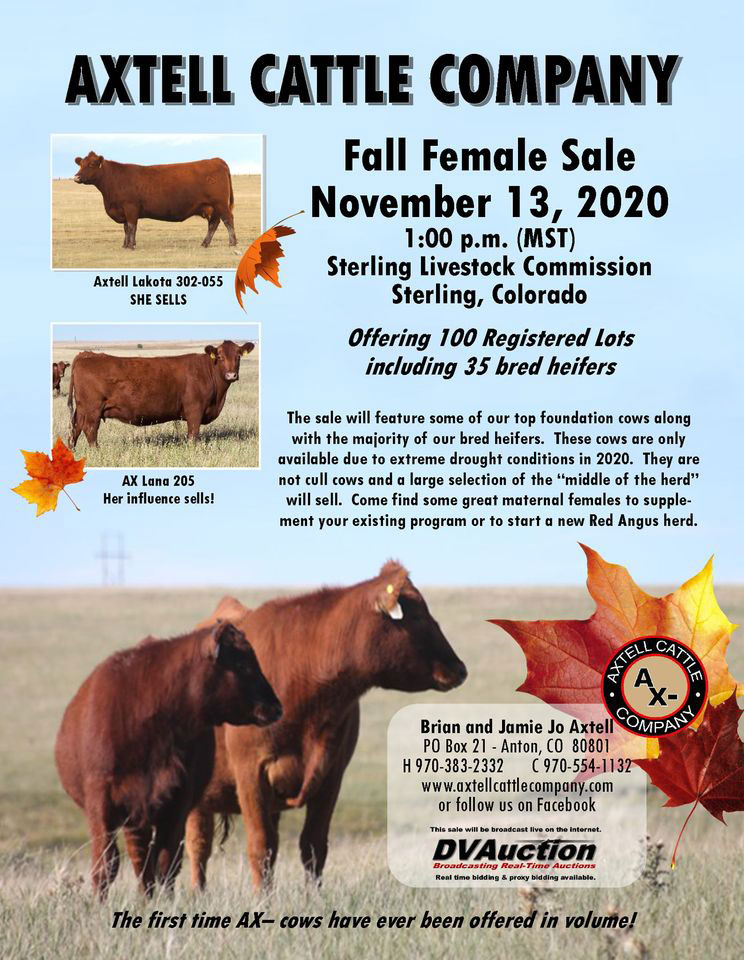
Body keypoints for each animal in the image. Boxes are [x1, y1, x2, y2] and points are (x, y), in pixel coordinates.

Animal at [55, 621, 281, 900]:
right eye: (241, 664)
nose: (276, 707)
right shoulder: (102, 804)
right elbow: (107, 861)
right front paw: (99, 902)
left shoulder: (176, 805)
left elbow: (166, 860)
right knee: (138, 858)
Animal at [67, 340, 254, 448]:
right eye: (220, 357)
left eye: (238, 356)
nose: (231, 375)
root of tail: (86, 354)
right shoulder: (194, 409)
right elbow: (193, 436)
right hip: (92, 409)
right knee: (90, 430)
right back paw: (96, 451)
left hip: (82, 409)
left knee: (75, 429)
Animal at [73, 152, 237, 249]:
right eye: (81, 164)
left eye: (91, 164)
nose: (76, 177)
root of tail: (217, 160)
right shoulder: (123, 210)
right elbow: (126, 228)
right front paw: (125, 245)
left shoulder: (130, 207)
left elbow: (131, 227)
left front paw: (131, 246)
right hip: (213, 207)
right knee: (213, 224)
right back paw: (204, 243)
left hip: (220, 204)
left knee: (228, 220)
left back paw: (232, 242)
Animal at [184, 561, 467, 890]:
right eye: (418, 615)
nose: (460, 669)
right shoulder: (250, 772)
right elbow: (260, 846)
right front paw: (261, 899)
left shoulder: (332, 774)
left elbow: (313, 846)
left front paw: (313, 897)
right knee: (199, 846)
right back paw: (196, 893)